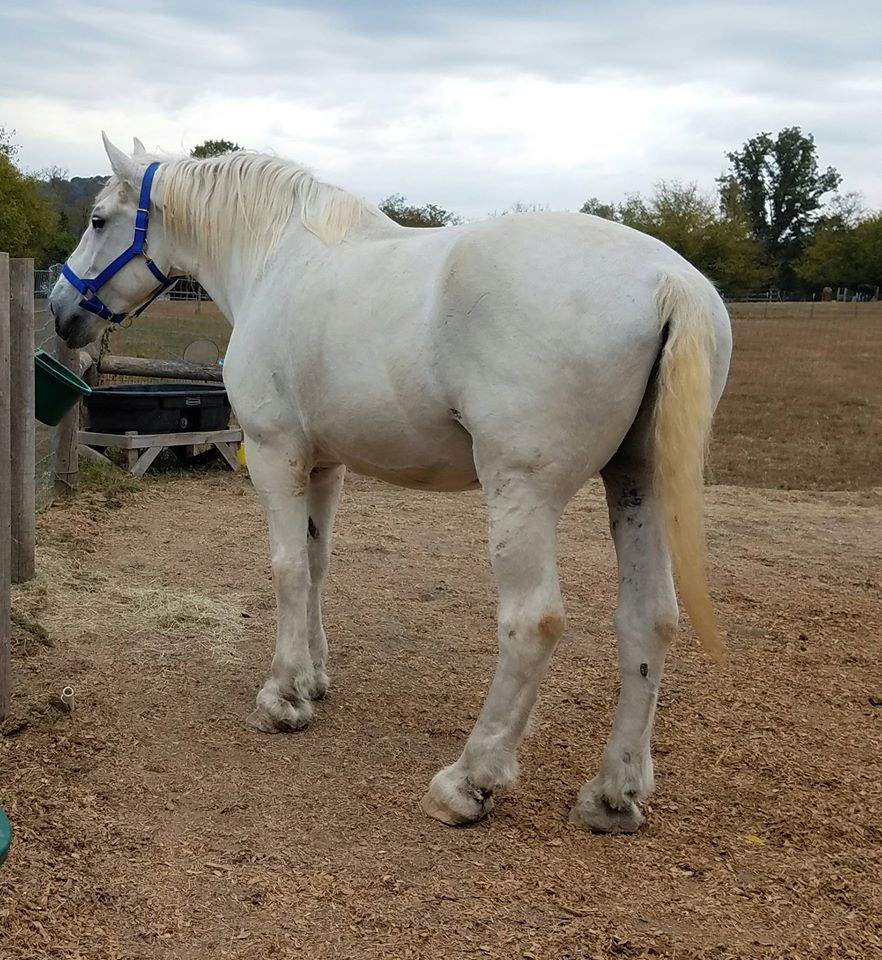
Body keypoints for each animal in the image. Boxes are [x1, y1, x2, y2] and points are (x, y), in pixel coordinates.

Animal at [50, 134, 732, 833]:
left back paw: (469, 782)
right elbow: (317, 563)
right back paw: (613, 793)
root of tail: (667, 280)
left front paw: (281, 698)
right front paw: (313, 680)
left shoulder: (275, 452)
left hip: (523, 494)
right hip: (638, 485)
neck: (278, 259)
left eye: (98, 220)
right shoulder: (325, 464)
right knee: (650, 619)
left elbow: (287, 568)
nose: (60, 307)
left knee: (532, 623)